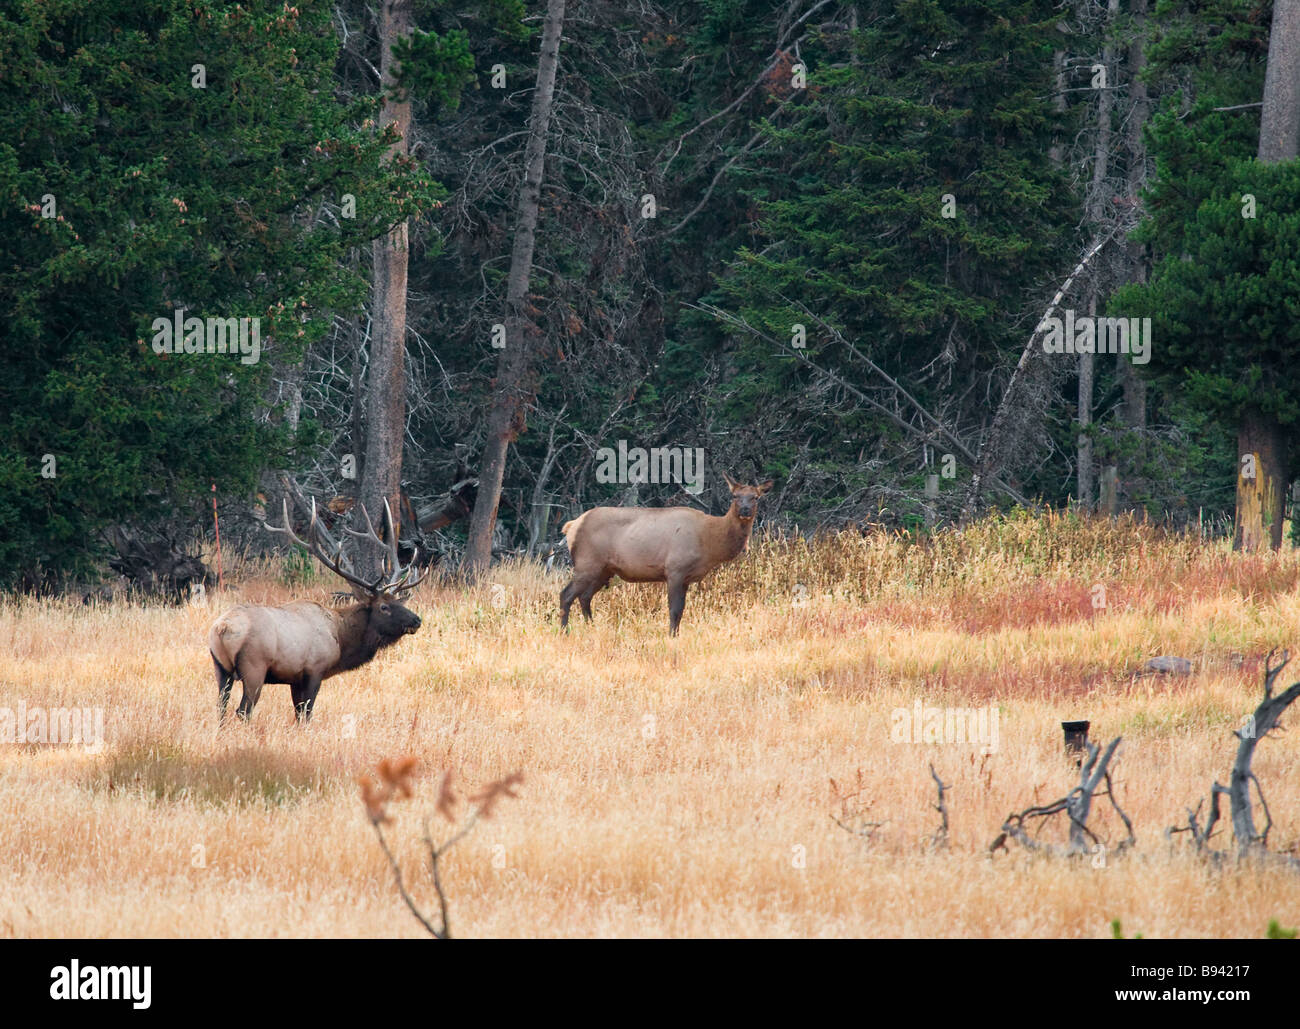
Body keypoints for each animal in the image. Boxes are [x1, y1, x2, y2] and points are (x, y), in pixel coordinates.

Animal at [208, 499, 422, 724]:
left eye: (399, 602)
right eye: (384, 607)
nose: (417, 620)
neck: (341, 638)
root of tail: (222, 628)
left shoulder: (294, 678)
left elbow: (298, 712)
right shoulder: (314, 670)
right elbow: (307, 713)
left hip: (220, 668)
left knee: (221, 707)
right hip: (254, 666)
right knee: (243, 710)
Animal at [559, 473, 773, 636]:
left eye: (755, 497)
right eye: (735, 495)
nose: (745, 510)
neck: (709, 542)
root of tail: (571, 526)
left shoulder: (686, 578)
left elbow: (682, 610)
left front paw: (676, 634)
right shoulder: (675, 569)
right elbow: (674, 609)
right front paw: (671, 636)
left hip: (604, 570)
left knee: (585, 597)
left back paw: (591, 627)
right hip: (587, 562)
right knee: (566, 595)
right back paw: (564, 632)